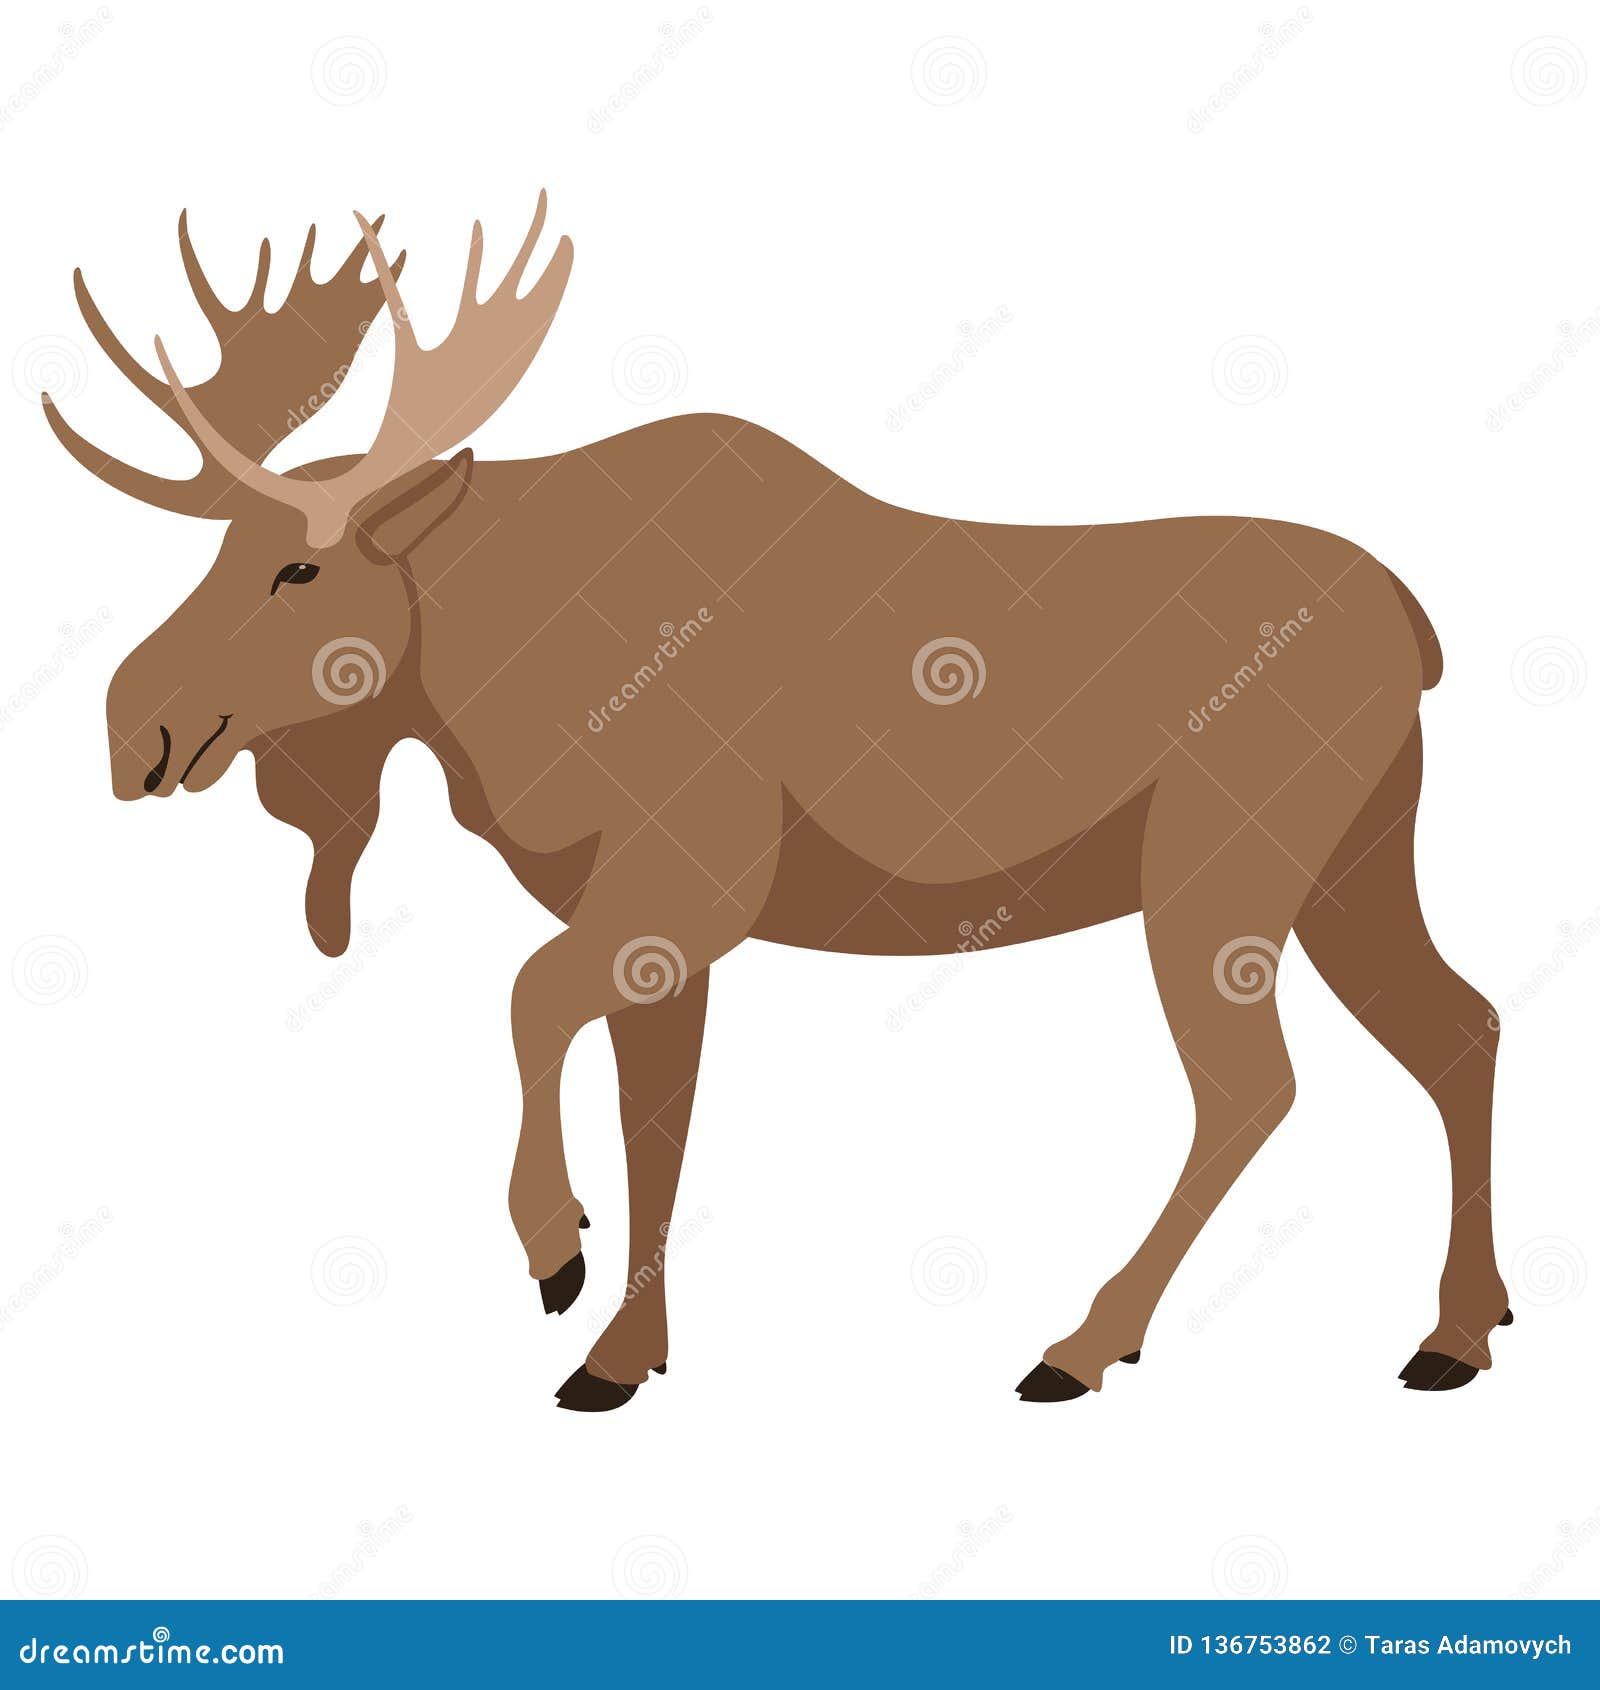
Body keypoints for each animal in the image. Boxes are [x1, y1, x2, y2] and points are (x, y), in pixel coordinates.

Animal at [43, 198, 1510, 1411]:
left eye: (297, 568)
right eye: (217, 552)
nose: (131, 725)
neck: (491, 679)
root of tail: (1420, 626)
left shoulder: (691, 881)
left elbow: (529, 1002)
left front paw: (552, 1248)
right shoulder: (659, 931)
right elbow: (657, 1132)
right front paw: (624, 1355)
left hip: (1221, 866)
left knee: (1253, 1085)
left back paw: (1082, 1342)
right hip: (1349, 866)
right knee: (1460, 1026)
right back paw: (1457, 1328)